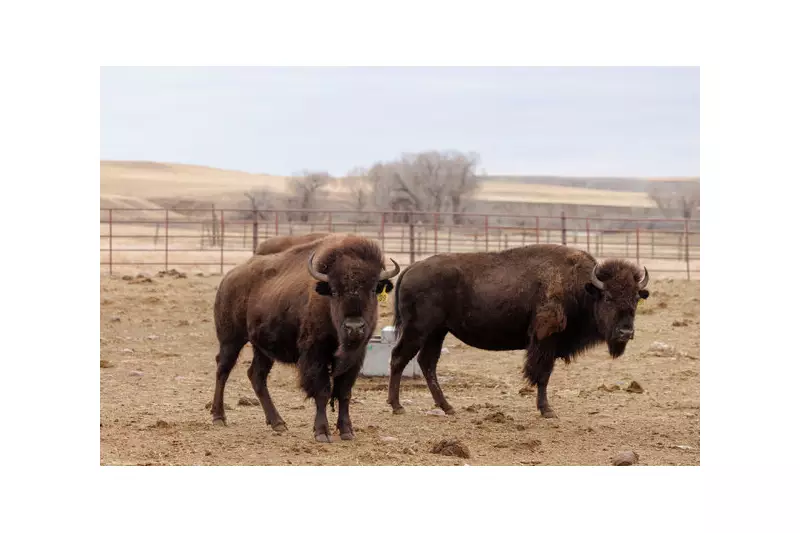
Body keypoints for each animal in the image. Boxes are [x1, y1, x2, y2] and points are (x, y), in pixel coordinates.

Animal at [211, 234, 400, 442]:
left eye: (373, 289)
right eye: (334, 290)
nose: (354, 327)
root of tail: (228, 278)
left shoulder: (355, 357)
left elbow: (344, 392)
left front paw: (347, 431)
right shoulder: (315, 354)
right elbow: (322, 391)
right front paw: (322, 432)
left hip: (261, 348)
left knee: (256, 376)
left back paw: (278, 423)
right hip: (231, 340)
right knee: (223, 370)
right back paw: (219, 417)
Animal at [388, 244, 650, 419]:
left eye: (636, 298)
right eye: (608, 297)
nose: (625, 332)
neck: (581, 288)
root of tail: (411, 268)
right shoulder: (546, 341)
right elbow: (543, 374)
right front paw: (547, 410)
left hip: (437, 332)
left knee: (427, 363)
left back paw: (447, 407)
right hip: (418, 330)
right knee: (399, 358)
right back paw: (397, 406)